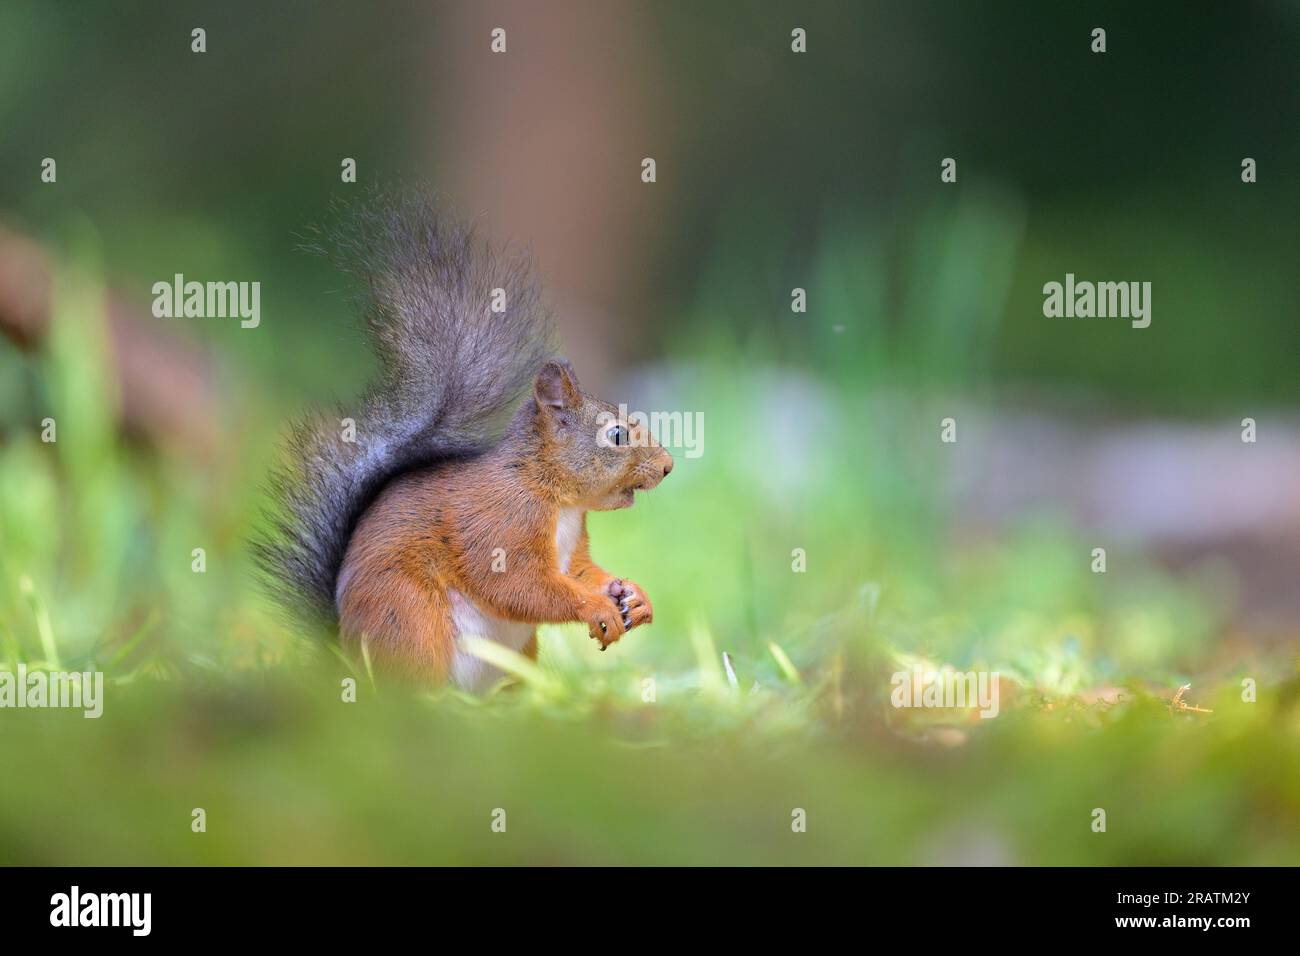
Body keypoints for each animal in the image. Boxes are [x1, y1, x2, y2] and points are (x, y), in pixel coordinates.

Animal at [255, 192, 673, 691]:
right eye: (616, 435)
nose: (668, 465)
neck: (555, 495)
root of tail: (346, 656)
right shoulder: (500, 525)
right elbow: (523, 587)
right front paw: (594, 607)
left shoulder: (572, 548)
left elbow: (582, 571)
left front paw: (632, 595)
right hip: (411, 617)